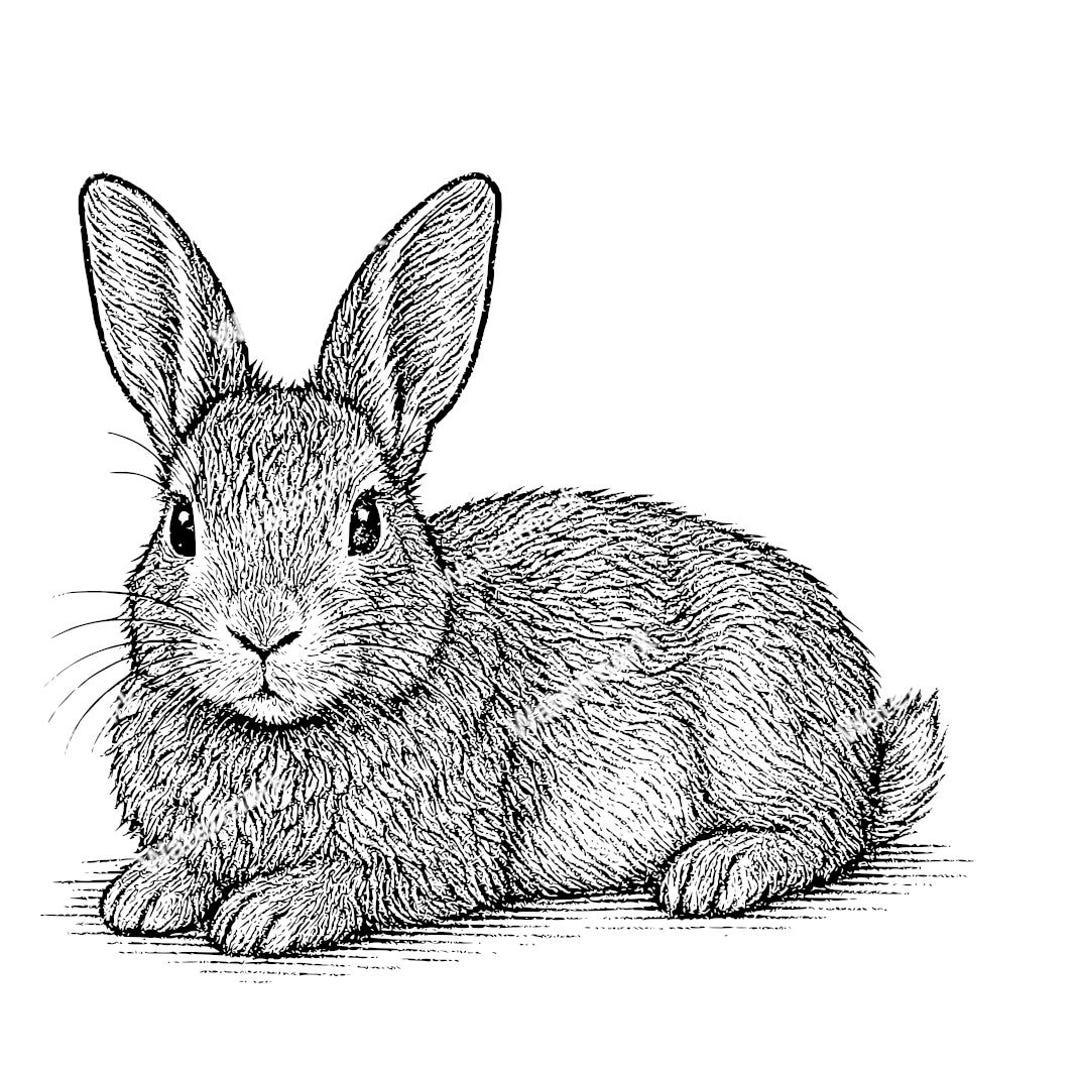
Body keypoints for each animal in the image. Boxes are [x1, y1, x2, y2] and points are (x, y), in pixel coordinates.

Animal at [78, 172, 945, 957]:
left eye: (366, 522)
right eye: (180, 525)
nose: (262, 632)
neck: (279, 730)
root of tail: (865, 733)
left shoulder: (445, 852)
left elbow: (361, 874)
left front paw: (268, 911)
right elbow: (194, 856)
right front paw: (146, 892)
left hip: (753, 717)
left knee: (828, 829)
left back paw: (719, 869)